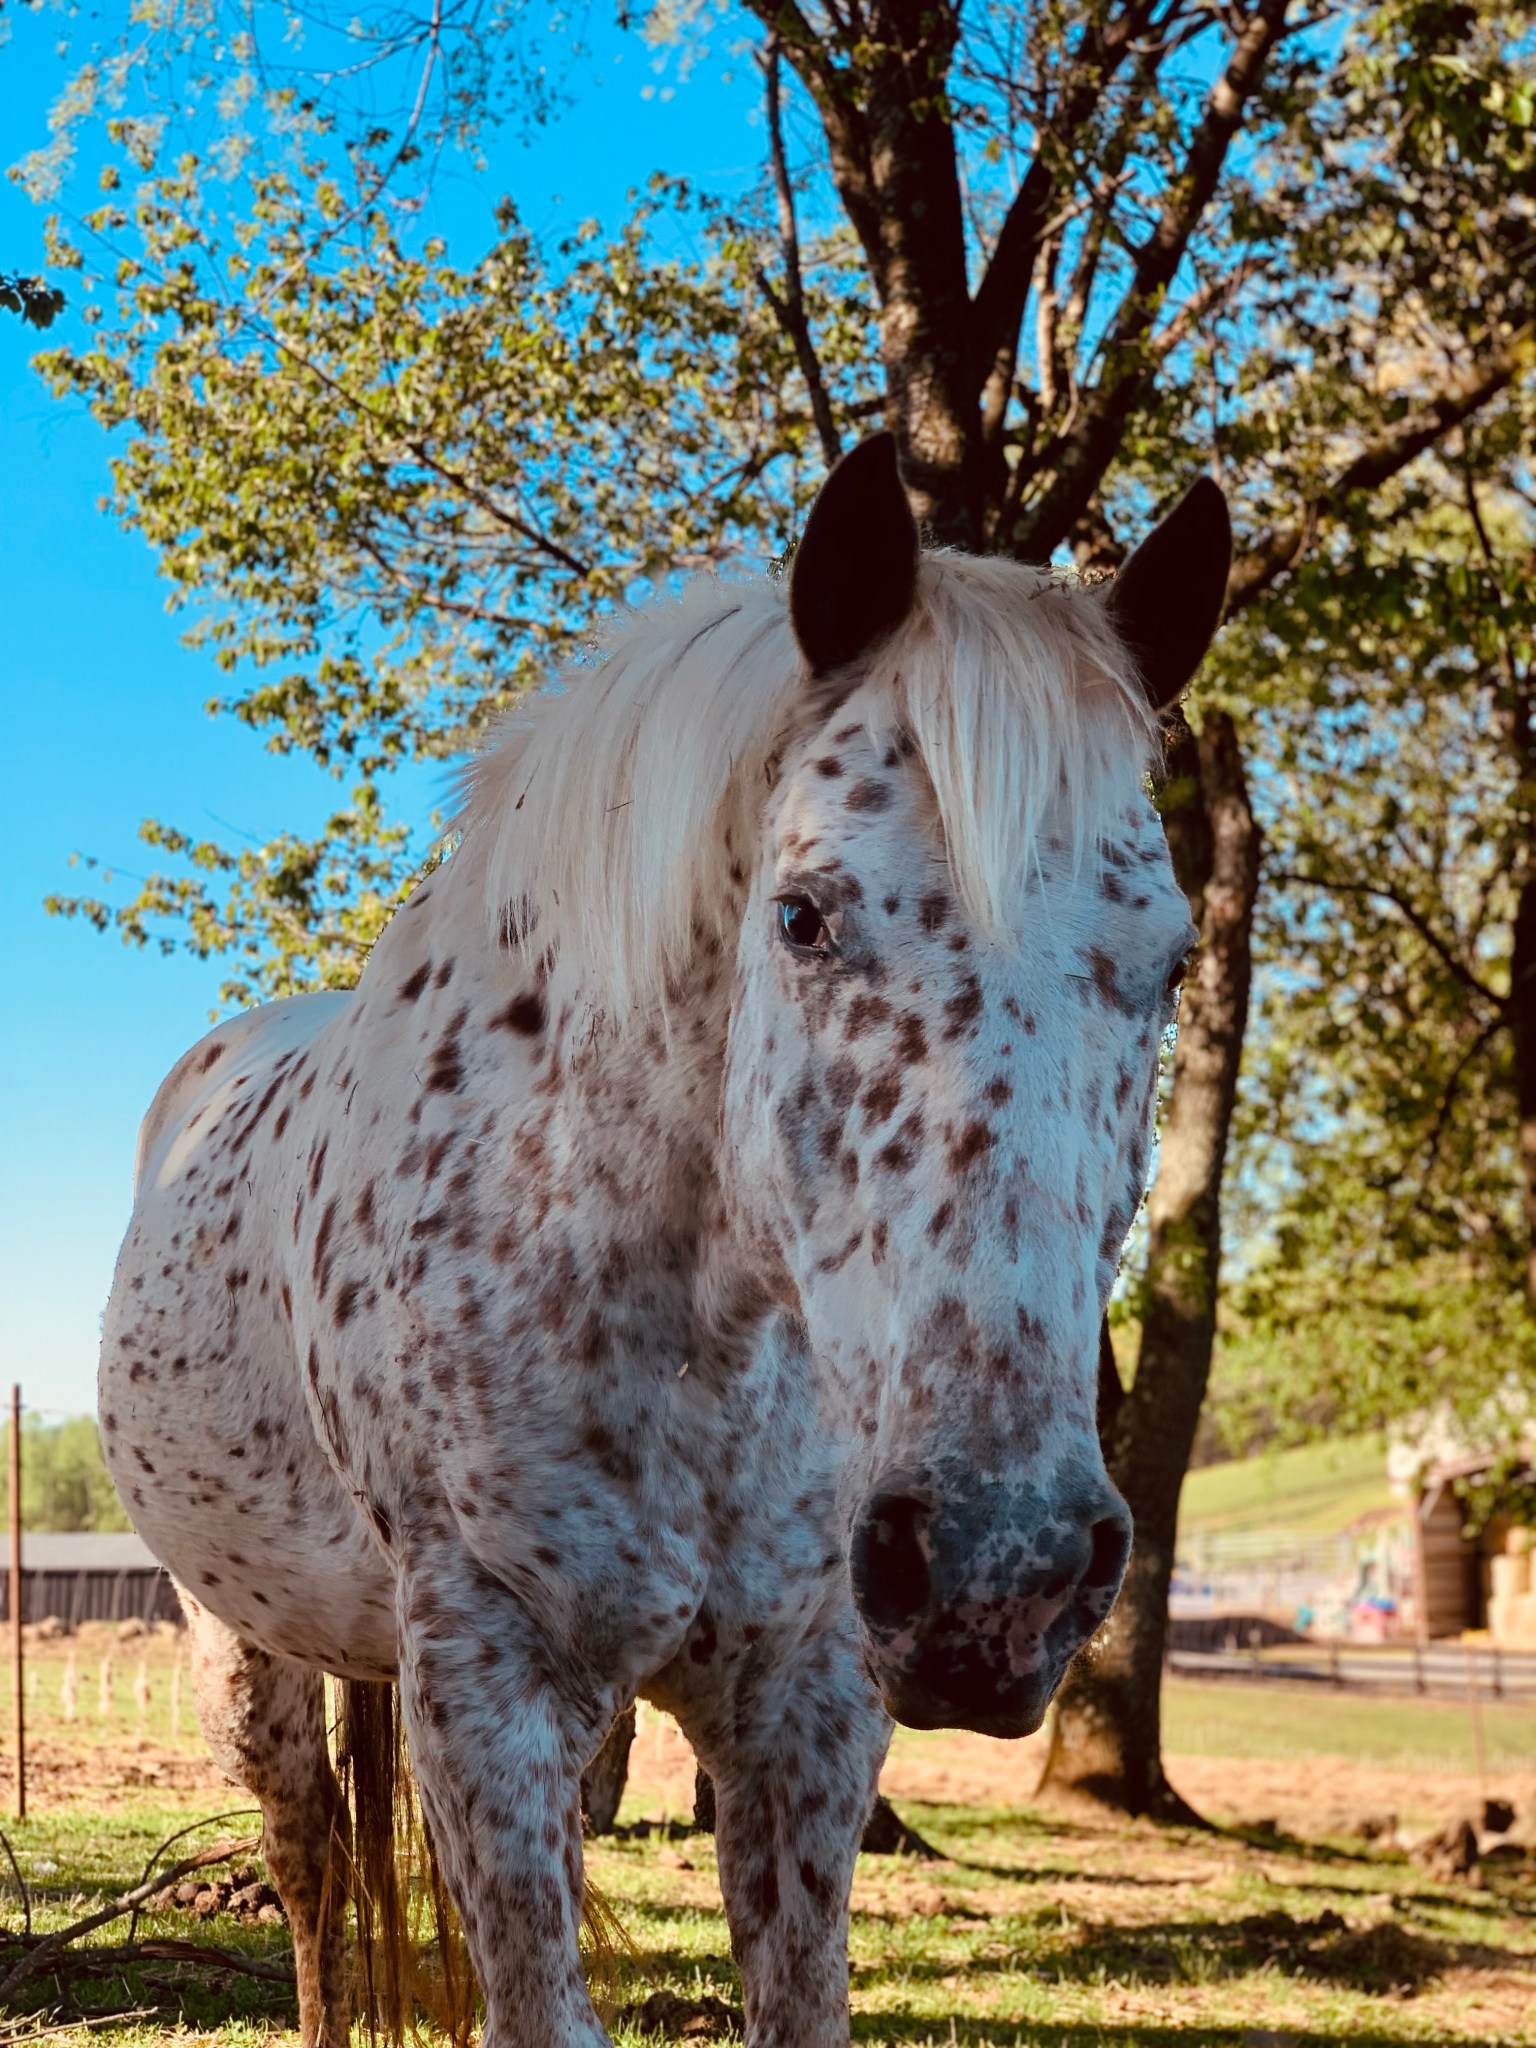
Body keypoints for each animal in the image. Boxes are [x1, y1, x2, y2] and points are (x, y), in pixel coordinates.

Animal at [99, 434, 1230, 2048]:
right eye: (804, 915)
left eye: (1174, 959)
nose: (996, 1570)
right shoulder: (488, 1688)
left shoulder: (810, 1703)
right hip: (243, 1644)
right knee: (310, 1869)